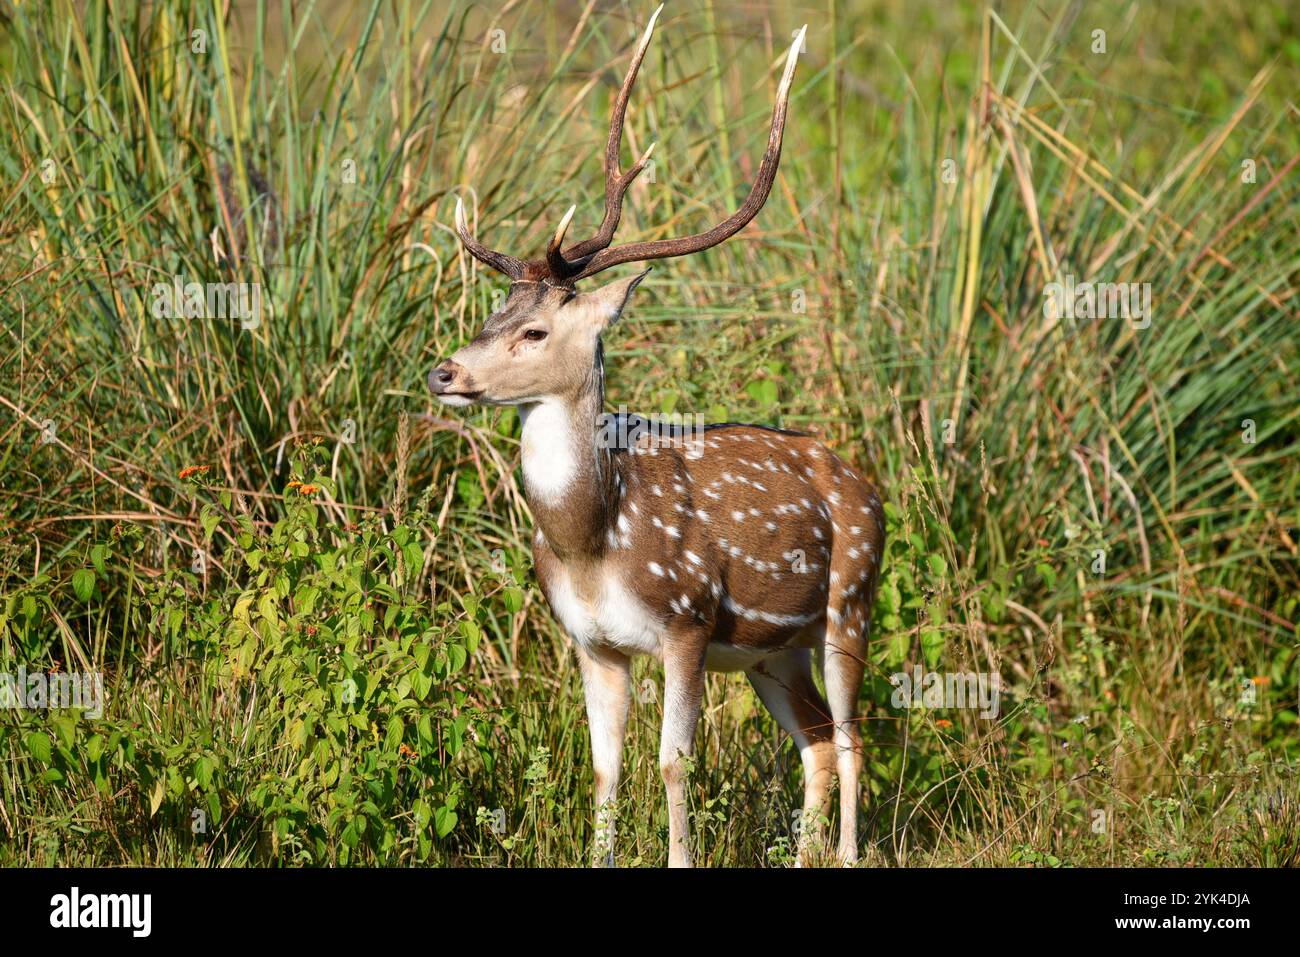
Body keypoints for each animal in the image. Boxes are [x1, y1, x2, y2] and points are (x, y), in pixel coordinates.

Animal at [429, 5, 884, 867]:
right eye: (491, 315)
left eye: (535, 331)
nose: (444, 371)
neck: (592, 541)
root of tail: (870, 486)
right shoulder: (591, 640)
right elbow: (604, 771)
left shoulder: (687, 619)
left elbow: (675, 763)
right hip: (772, 648)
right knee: (813, 736)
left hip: (851, 598)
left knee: (850, 734)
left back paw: (845, 852)